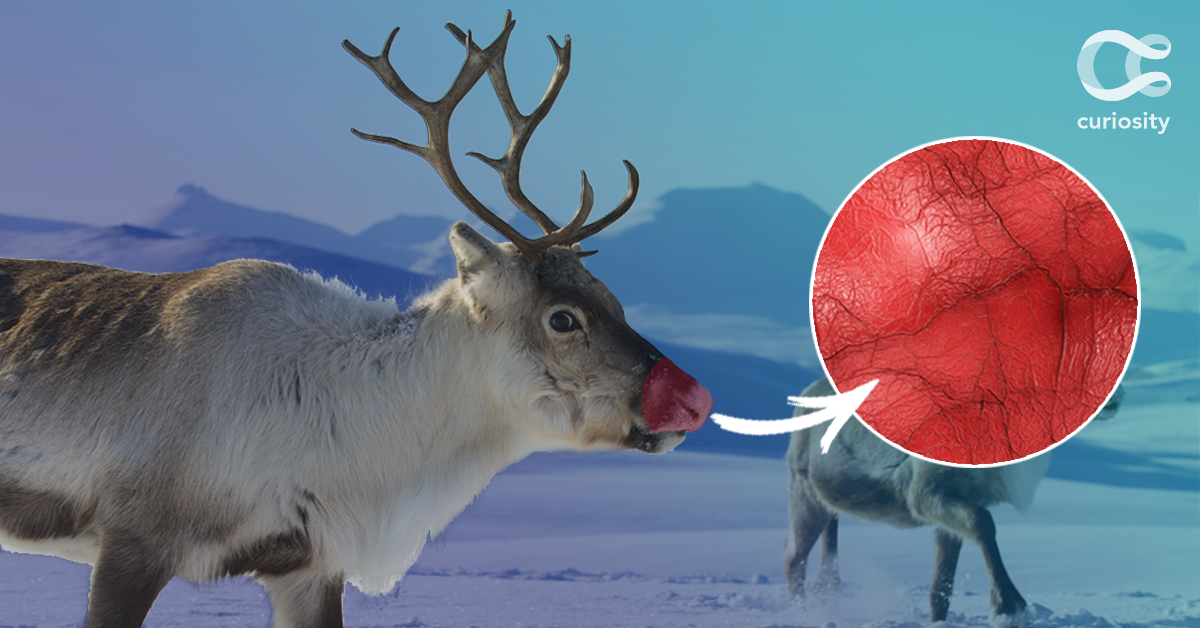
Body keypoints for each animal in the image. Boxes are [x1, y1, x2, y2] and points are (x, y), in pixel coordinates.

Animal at [784, 377, 1124, 625]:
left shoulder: (953, 506)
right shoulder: (925, 494)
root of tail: (804, 396)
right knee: (793, 559)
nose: (1116, 399)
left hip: (826, 505)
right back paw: (803, 613)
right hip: (804, 494)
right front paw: (1009, 605)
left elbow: (941, 585)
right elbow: (984, 523)